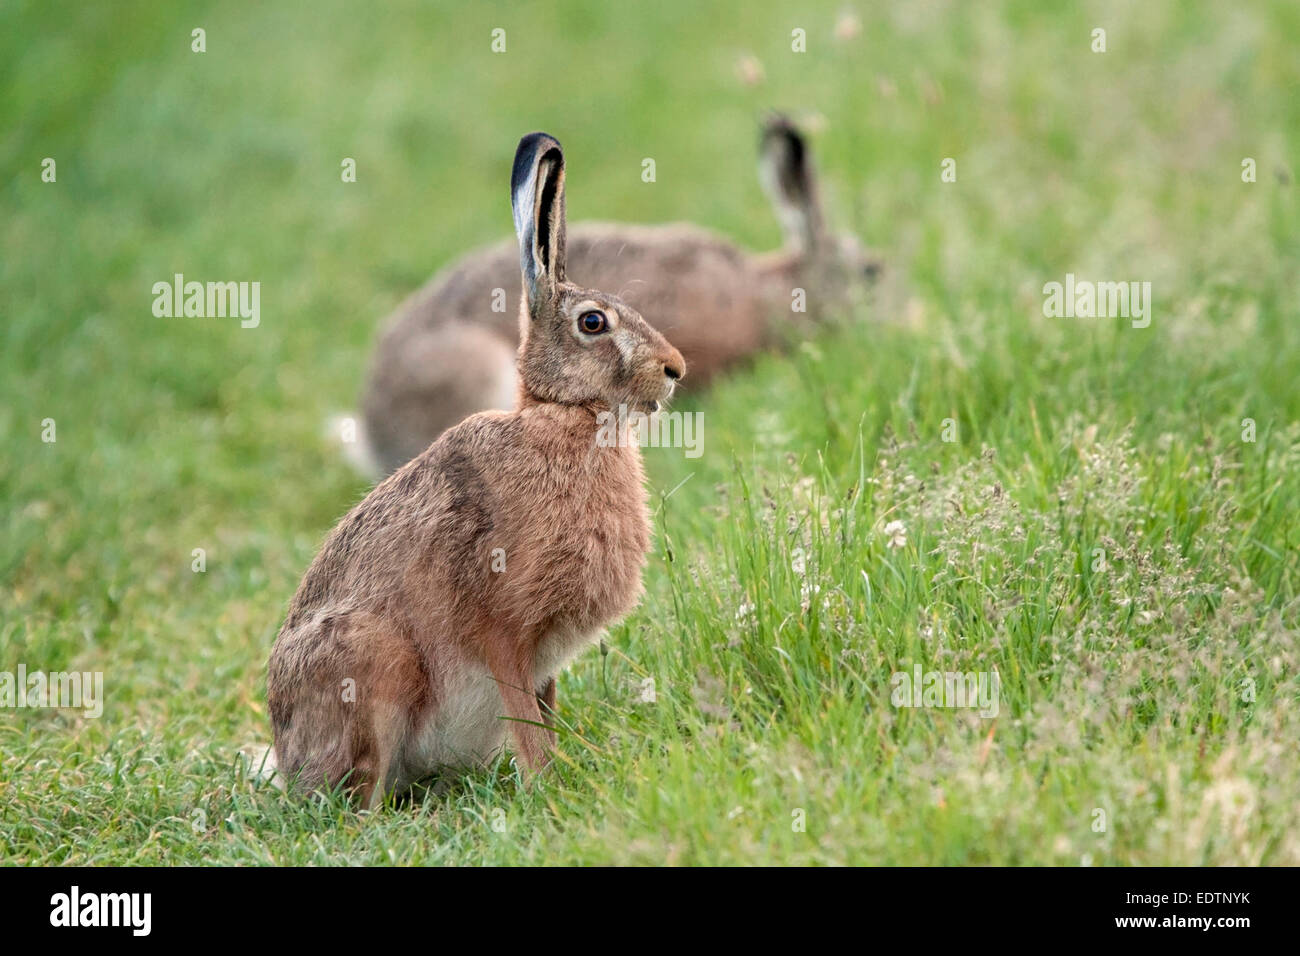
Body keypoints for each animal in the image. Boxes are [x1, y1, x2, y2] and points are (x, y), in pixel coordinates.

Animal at [268, 132, 686, 807]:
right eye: (593, 322)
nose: (676, 368)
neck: (562, 414)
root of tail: (287, 761)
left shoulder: (545, 660)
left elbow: (545, 712)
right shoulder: (504, 631)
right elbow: (527, 721)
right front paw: (549, 787)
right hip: (371, 660)